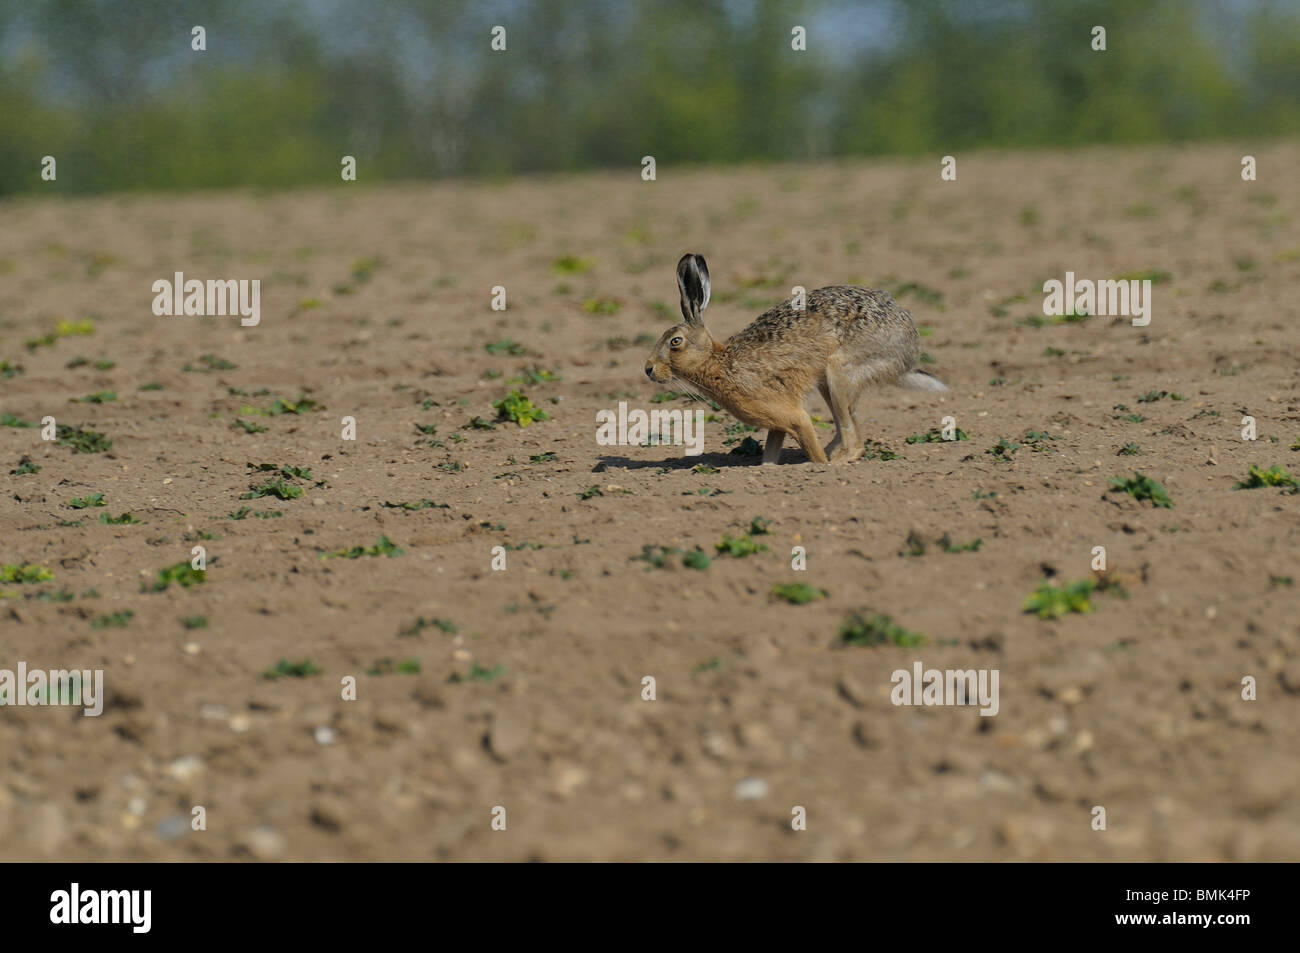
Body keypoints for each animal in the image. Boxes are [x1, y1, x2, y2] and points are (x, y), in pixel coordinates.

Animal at [645, 253, 946, 464]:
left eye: (675, 342)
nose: (648, 370)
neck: (719, 362)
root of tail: (908, 351)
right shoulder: (777, 423)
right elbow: (769, 455)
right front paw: (768, 470)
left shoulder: (793, 416)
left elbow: (807, 434)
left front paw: (818, 465)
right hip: (829, 383)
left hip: (840, 372)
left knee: (853, 440)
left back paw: (833, 465)